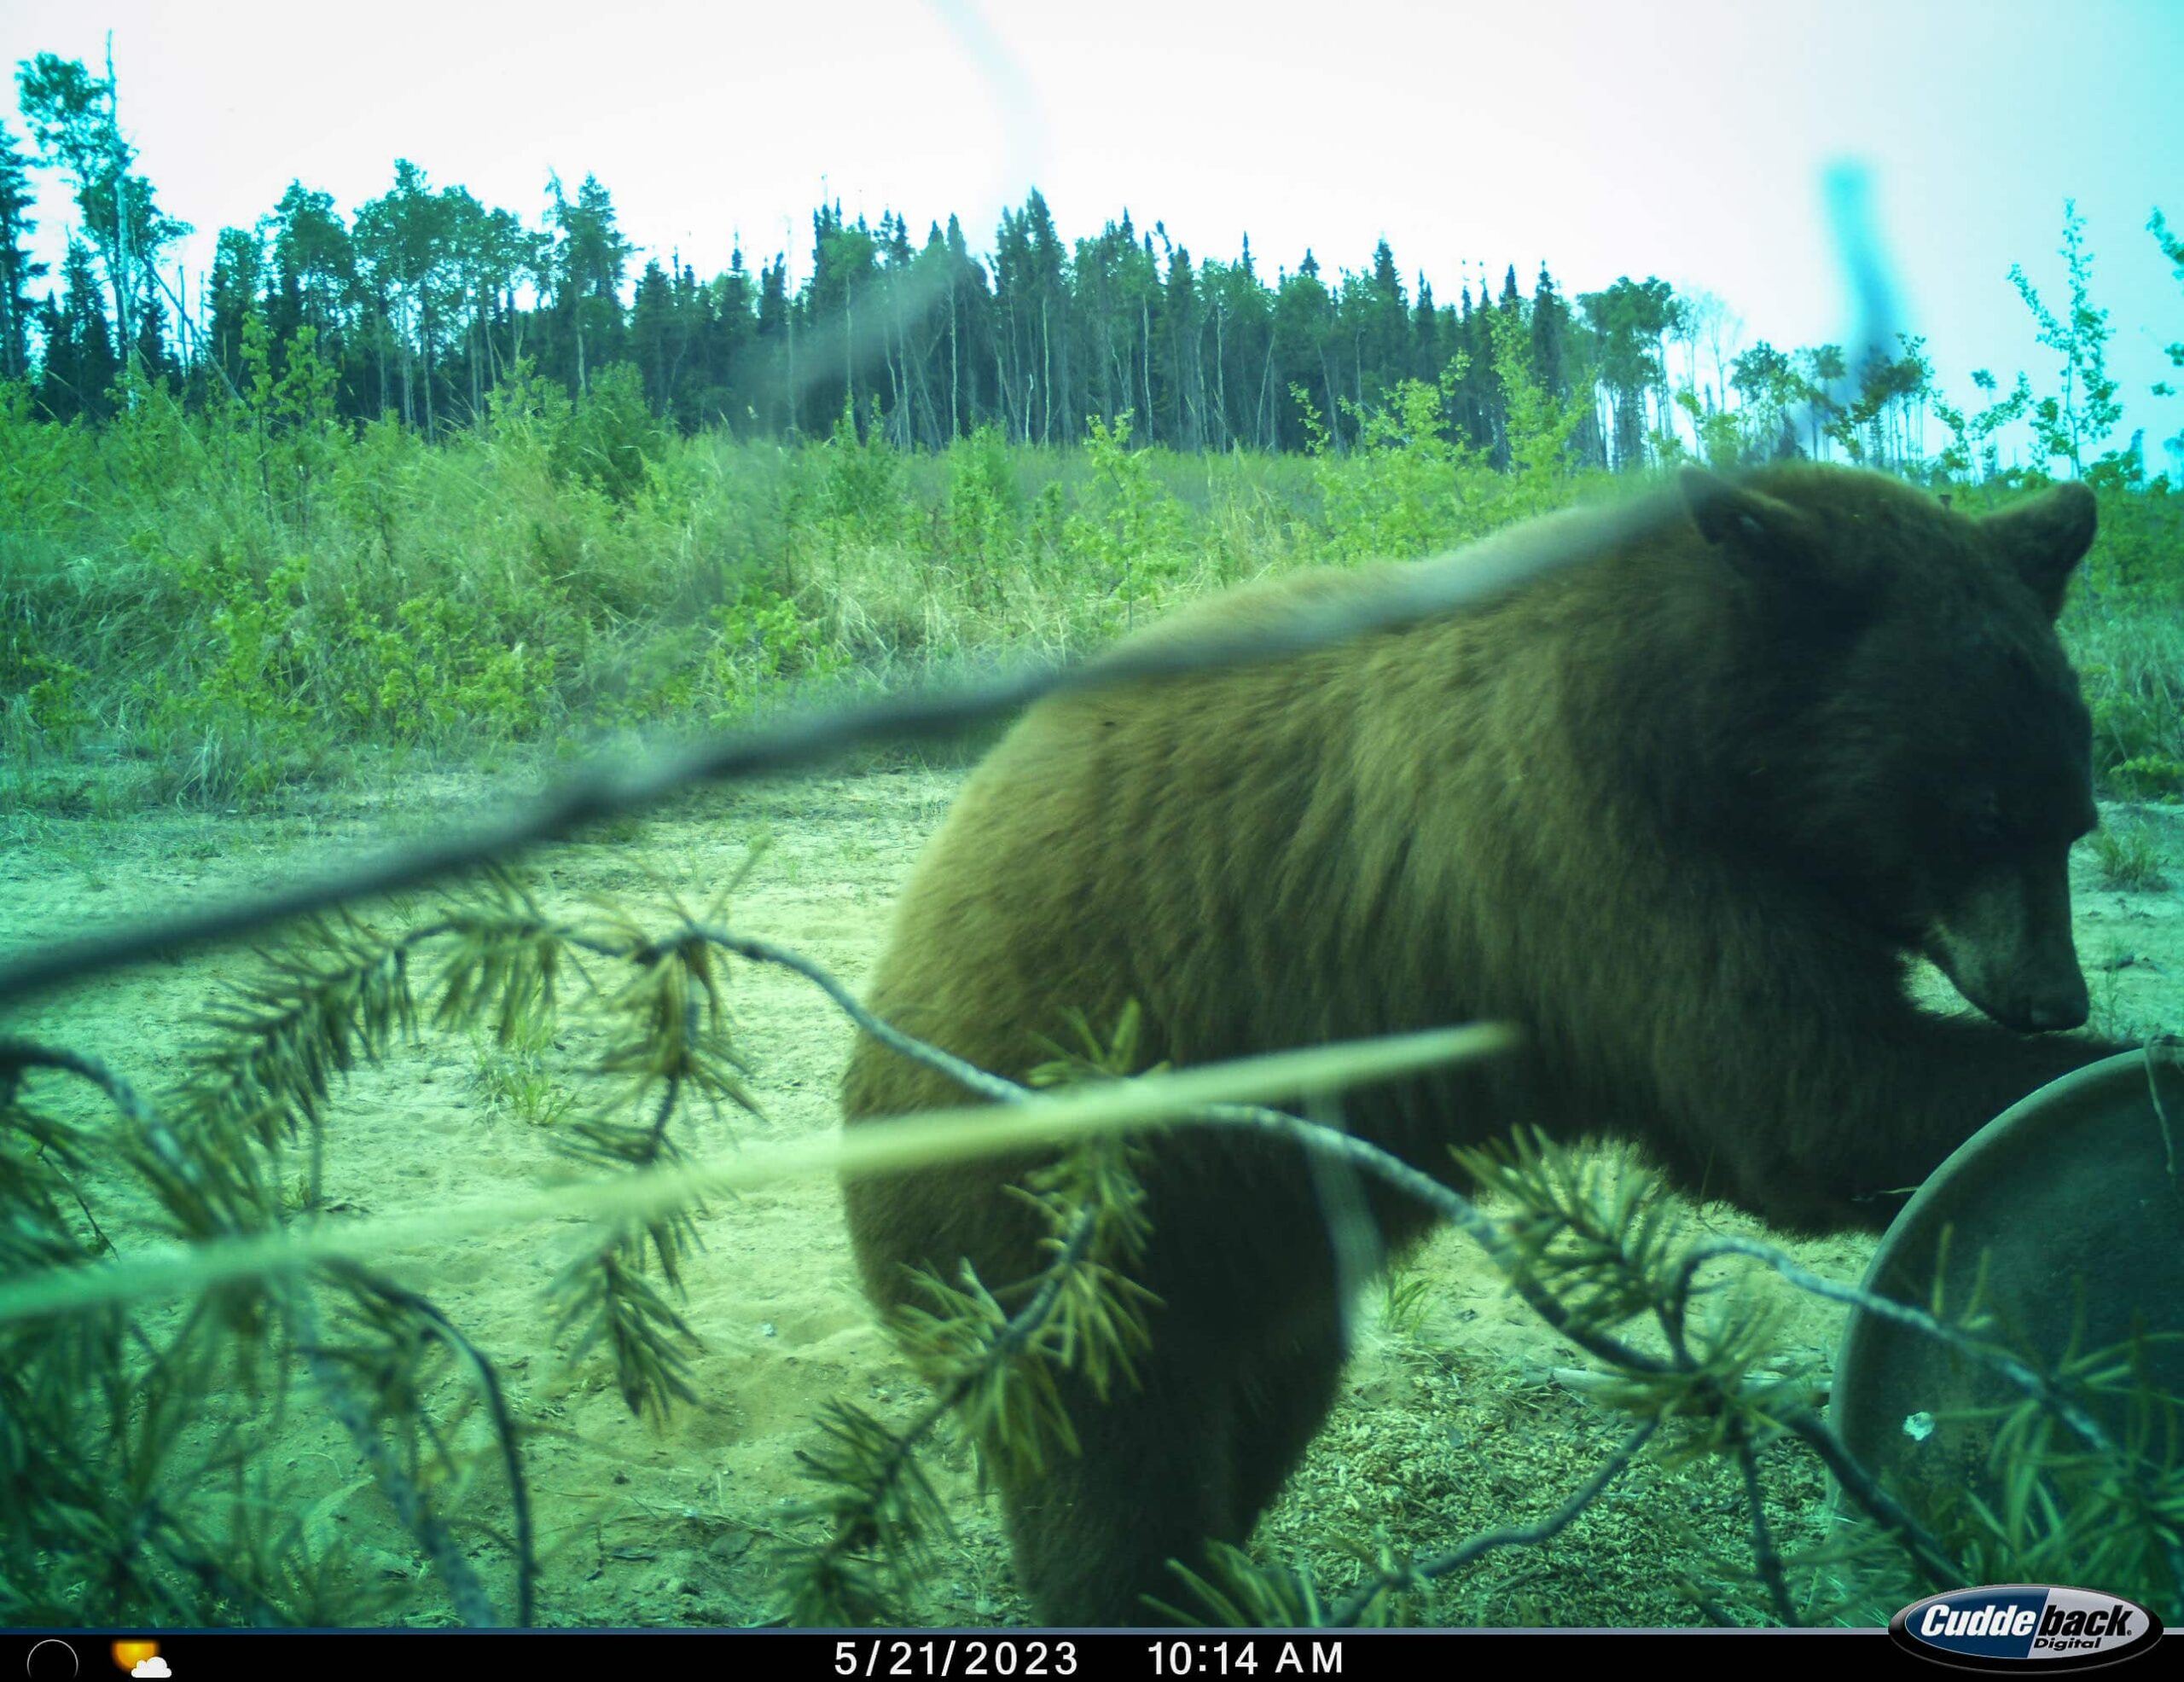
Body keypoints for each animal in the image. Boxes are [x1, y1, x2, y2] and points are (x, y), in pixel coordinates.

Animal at [839, 463, 2125, 1627]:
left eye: (2073, 816)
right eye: (1980, 816)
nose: (2052, 997)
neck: (1696, 712)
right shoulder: (1585, 840)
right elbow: (1804, 1094)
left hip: (1248, 1242)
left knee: (1260, 1400)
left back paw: (1240, 1574)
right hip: (1062, 1216)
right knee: (1109, 1459)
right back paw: (1161, 1590)